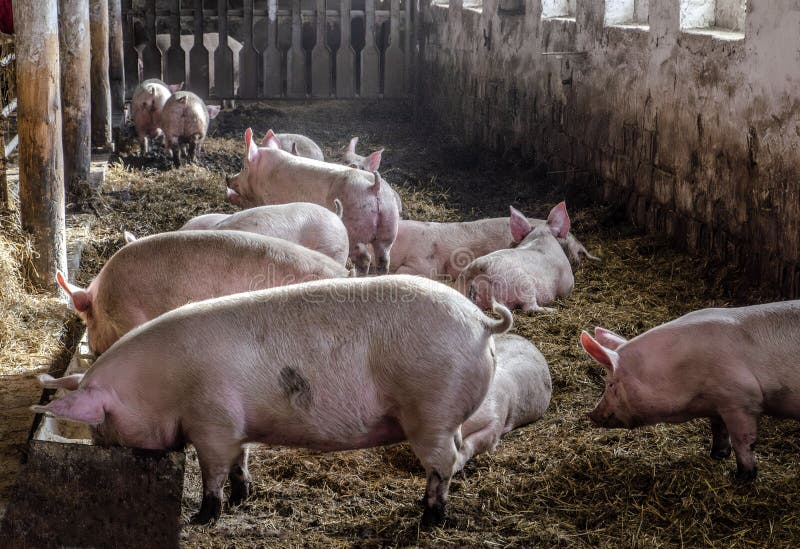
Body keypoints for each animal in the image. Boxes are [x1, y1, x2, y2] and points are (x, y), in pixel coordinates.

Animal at [32, 275, 514, 526]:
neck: (162, 385)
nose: (101, 448)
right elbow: (242, 462)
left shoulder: (212, 423)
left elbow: (213, 474)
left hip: (430, 411)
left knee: (443, 463)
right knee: (452, 456)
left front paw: (203, 518)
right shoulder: (236, 426)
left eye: (102, 420)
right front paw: (243, 498)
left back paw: (429, 518)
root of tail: (481, 322)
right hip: (442, 415)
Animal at [225, 128, 400, 274]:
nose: (228, 178)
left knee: (365, 258)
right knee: (382, 260)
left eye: (244, 167)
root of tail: (373, 187)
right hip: (389, 228)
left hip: (354, 231)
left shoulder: (269, 198)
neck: (263, 175)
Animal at [581, 300, 800, 482]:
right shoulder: (717, 404)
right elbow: (718, 429)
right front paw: (716, 455)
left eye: (610, 384)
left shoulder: (741, 401)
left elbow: (743, 441)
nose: (590, 415)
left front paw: (741, 478)